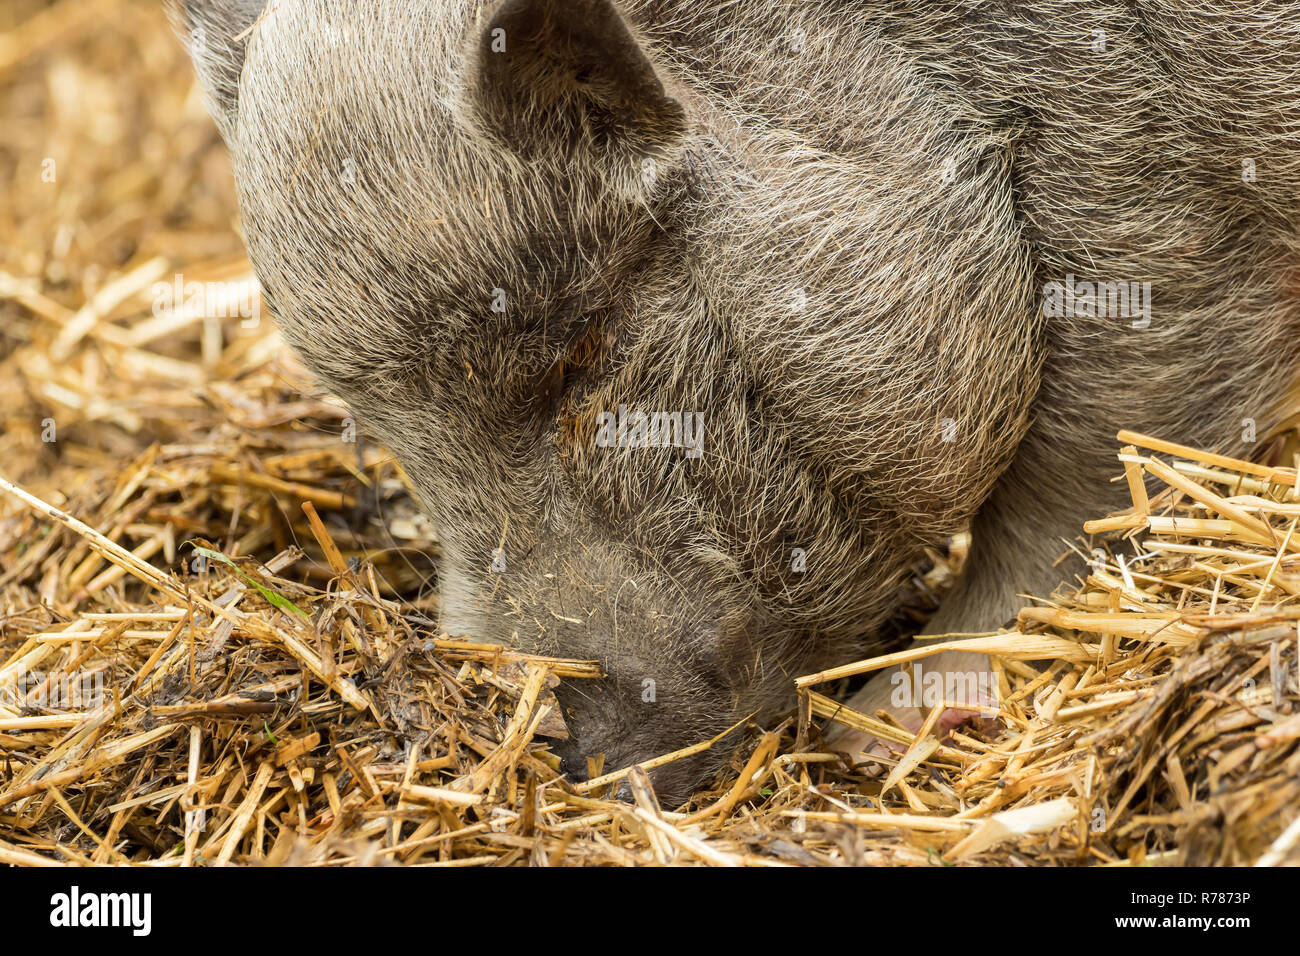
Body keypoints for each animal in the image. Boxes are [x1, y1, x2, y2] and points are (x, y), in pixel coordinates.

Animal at [176, 0, 1300, 804]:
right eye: (389, 428)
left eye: (579, 351)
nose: (571, 752)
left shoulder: (1164, 220)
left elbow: (1086, 470)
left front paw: (875, 728)